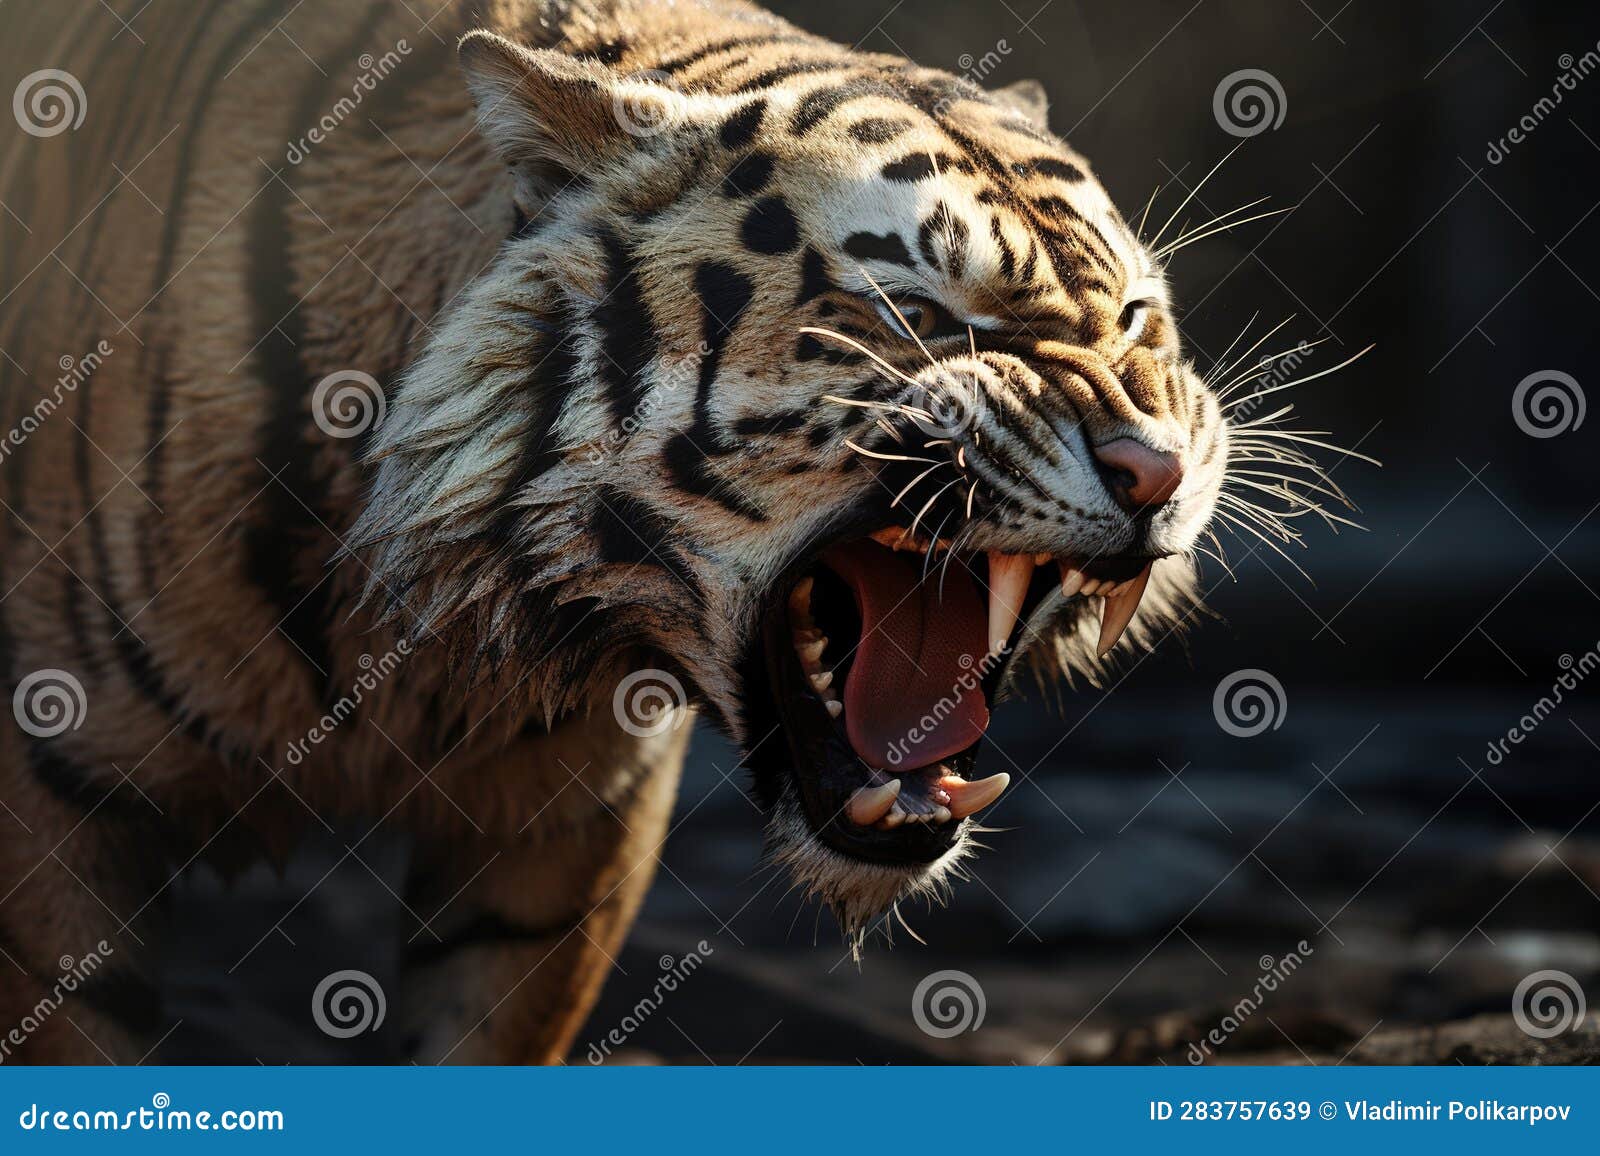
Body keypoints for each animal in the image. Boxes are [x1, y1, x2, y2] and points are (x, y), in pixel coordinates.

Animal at [0, 0, 1326, 1064]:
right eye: (917, 309)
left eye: (1137, 317)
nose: (1157, 471)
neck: (419, 605)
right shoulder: (50, 803)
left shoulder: (565, 827)